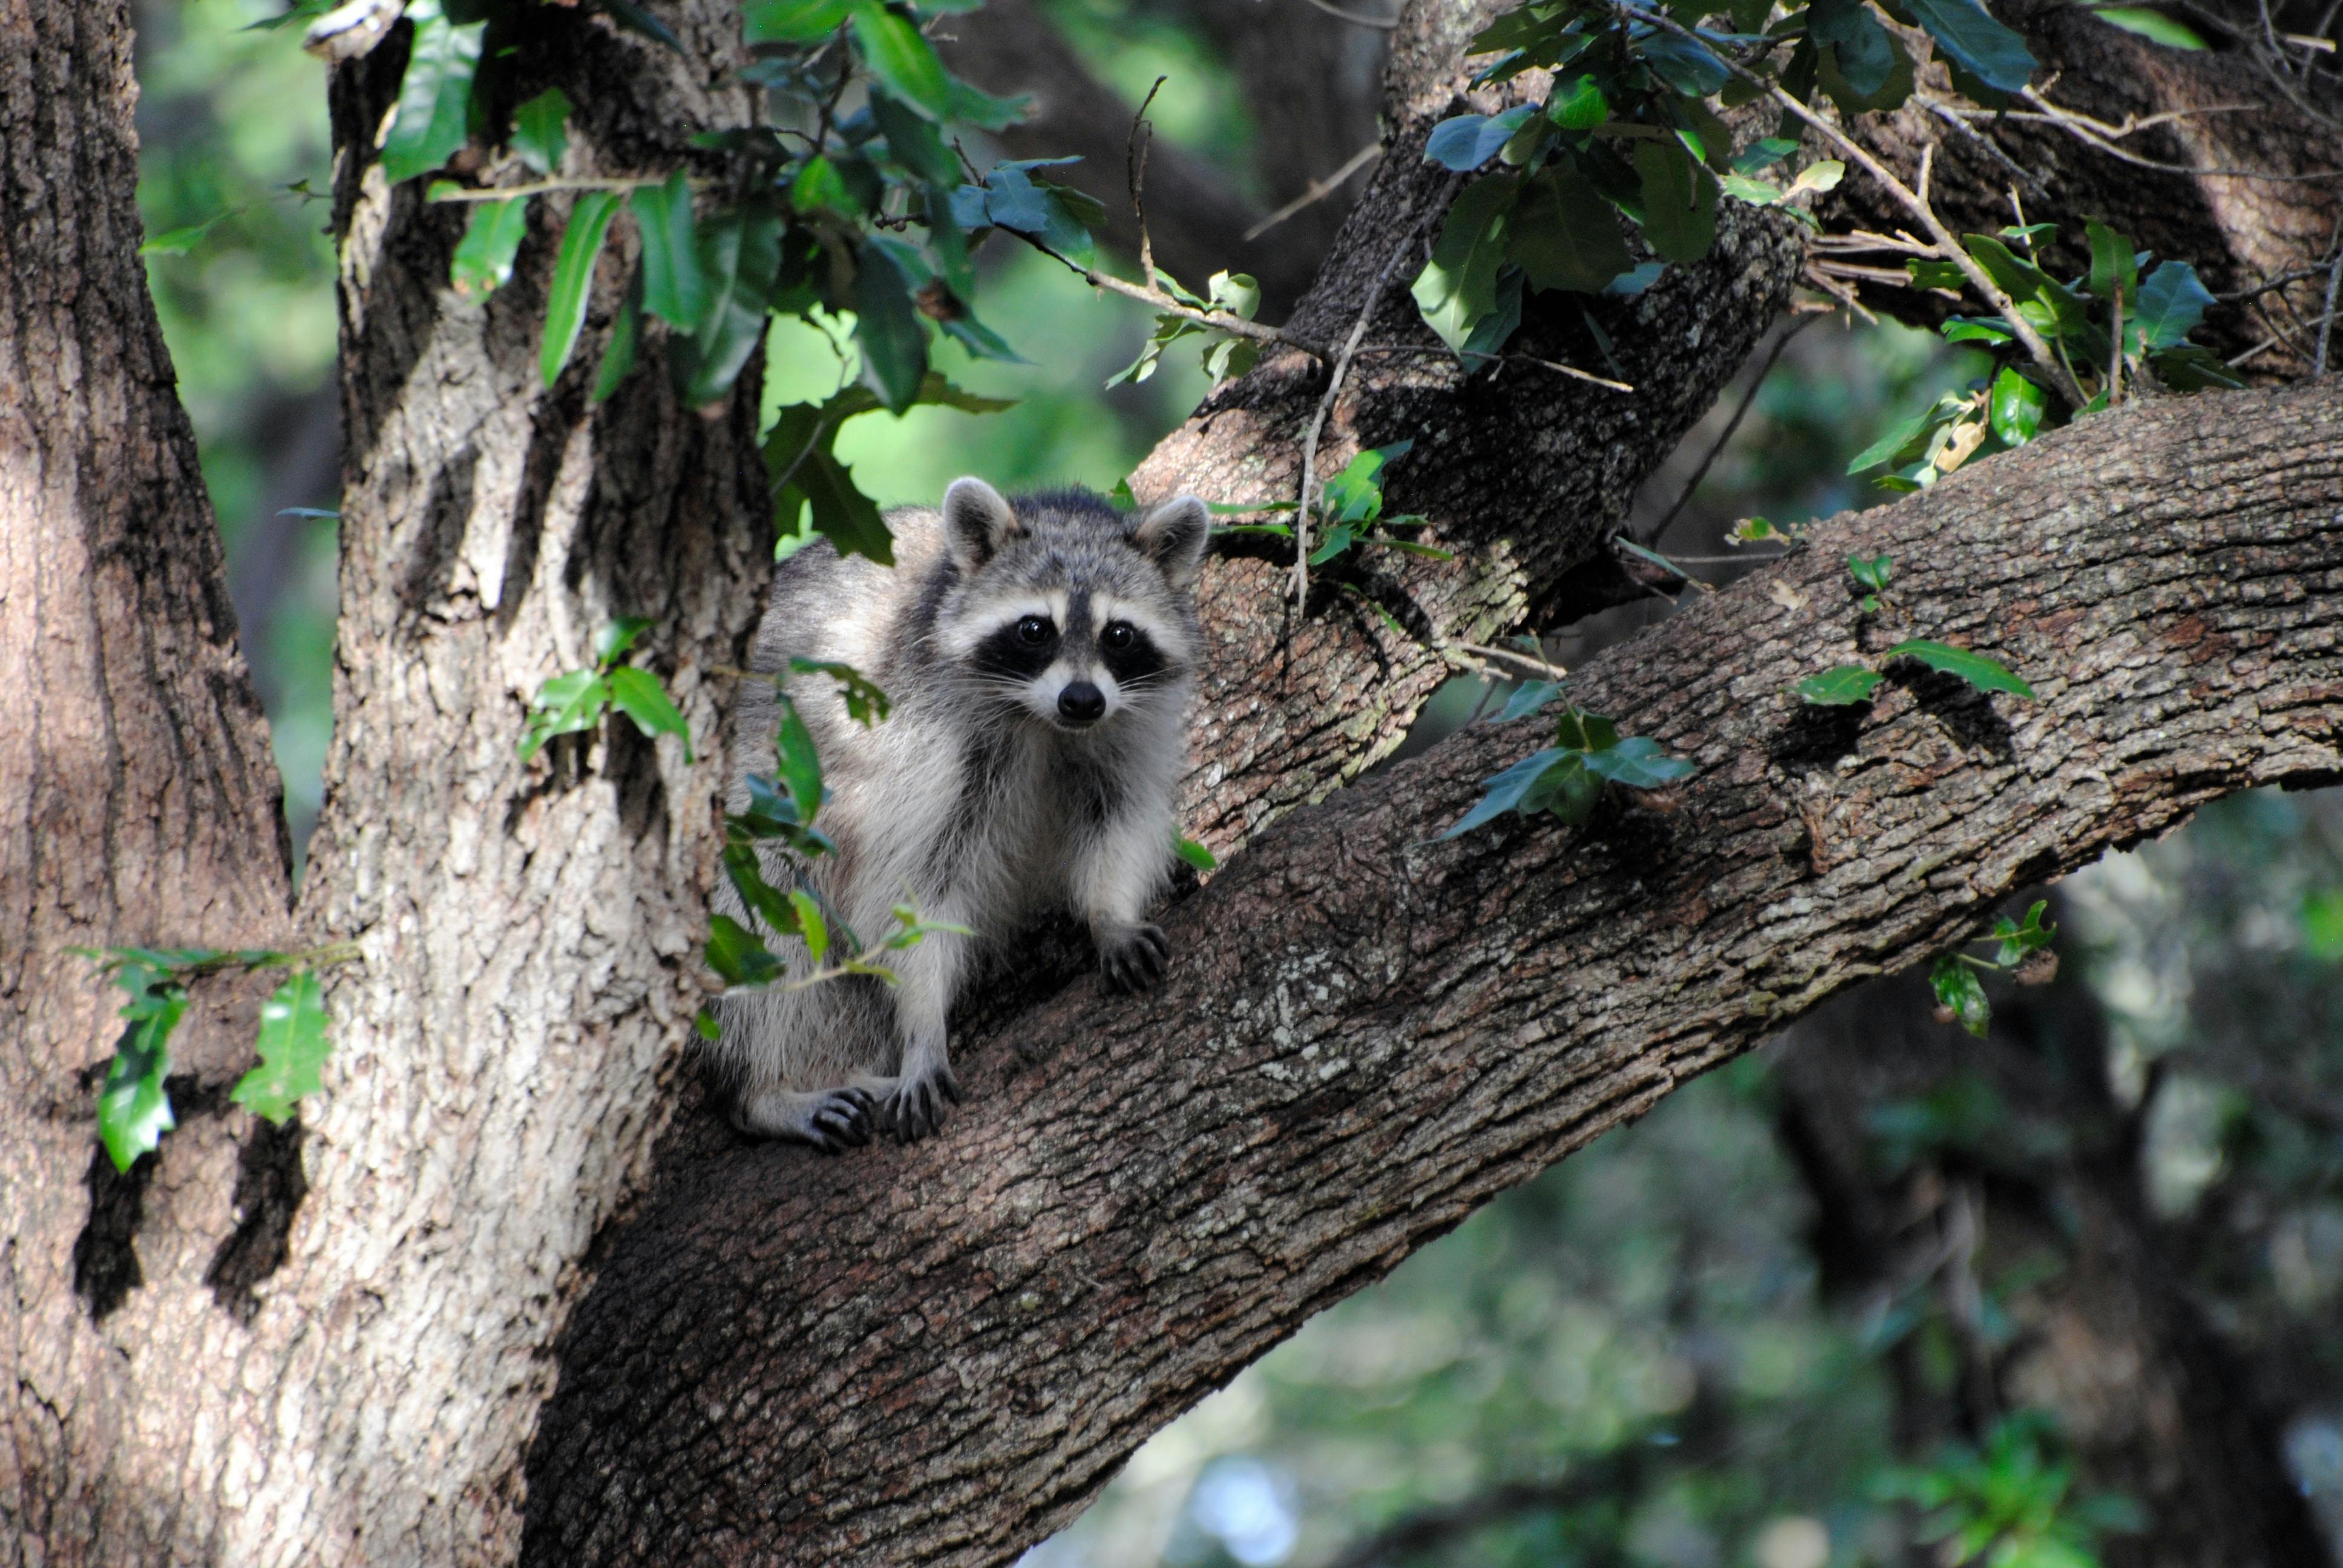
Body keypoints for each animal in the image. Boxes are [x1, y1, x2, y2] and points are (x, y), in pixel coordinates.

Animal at [712, 477, 1211, 1149]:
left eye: (1120, 635)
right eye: (1035, 629)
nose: (1081, 700)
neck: (1044, 723)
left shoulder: (1125, 729)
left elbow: (1120, 820)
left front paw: (1110, 914)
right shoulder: (920, 742)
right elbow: (910, 891)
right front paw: (924, 1030)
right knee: (773, 932)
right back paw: (765, 1093)